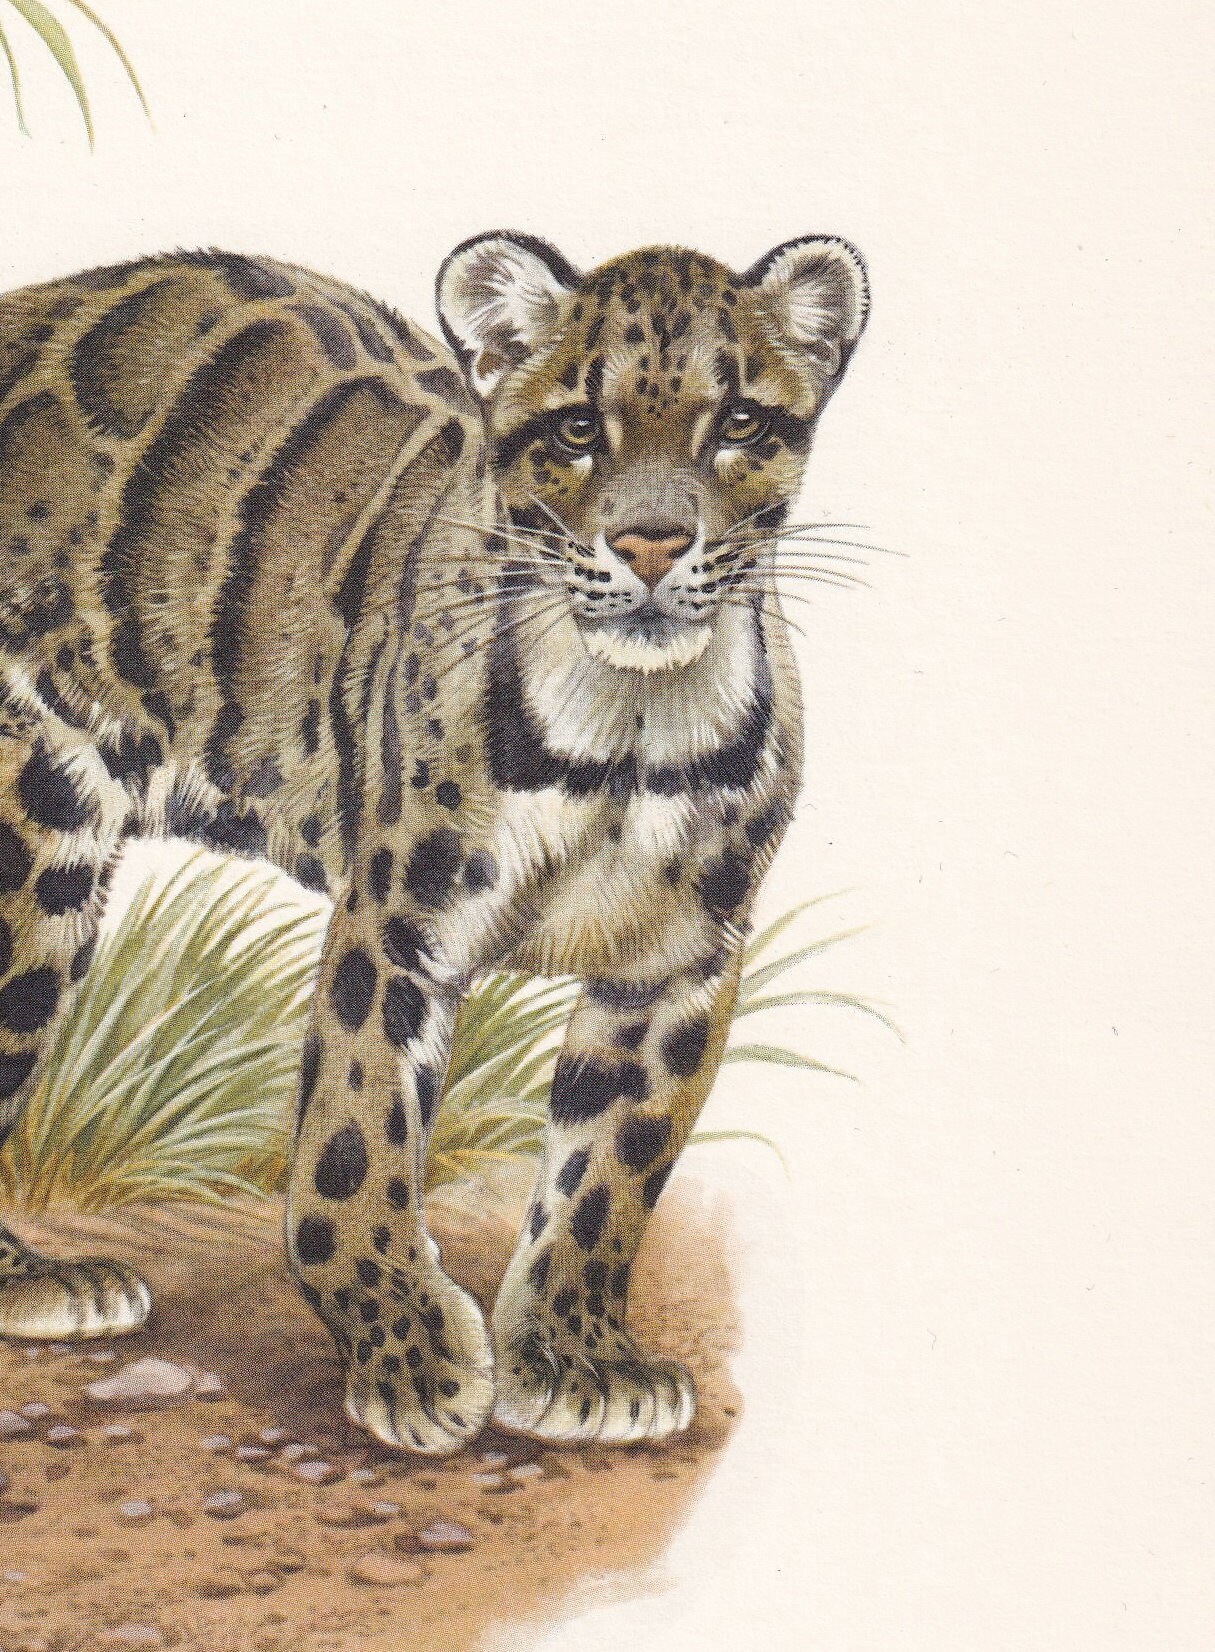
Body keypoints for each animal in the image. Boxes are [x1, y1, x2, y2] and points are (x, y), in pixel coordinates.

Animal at [0, 229, 869, 1453]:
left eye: (738, 422)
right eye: (577, 429)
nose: (651, 541)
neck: (630, 727)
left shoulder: (679, 959)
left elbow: (611, 1169)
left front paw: (575, 1355)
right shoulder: (398, 920)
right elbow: (353, 1144)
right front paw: (411, 1357)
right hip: (33, 834)